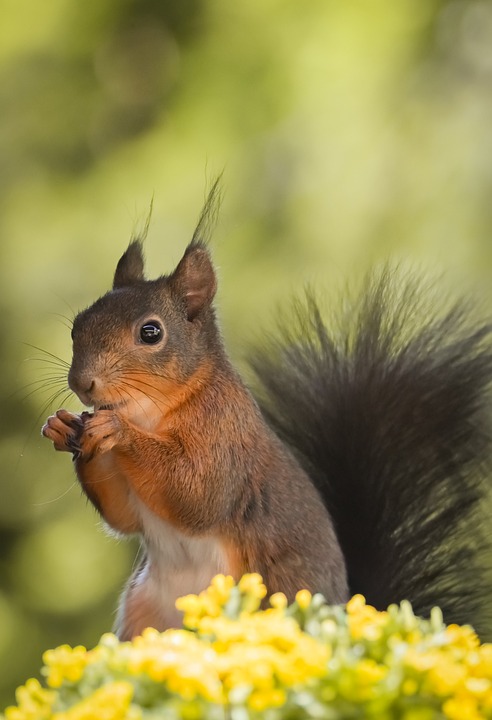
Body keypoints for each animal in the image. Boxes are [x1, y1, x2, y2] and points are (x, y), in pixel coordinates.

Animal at [42, 192, 492, 641]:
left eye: (151, 333)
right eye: (78, 324)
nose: (82, 383)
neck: (149, 412)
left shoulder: (226, 432)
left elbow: (198, 494)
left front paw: (117, 430)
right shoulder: (133, 502)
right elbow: (123, 516)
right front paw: (64, 427)